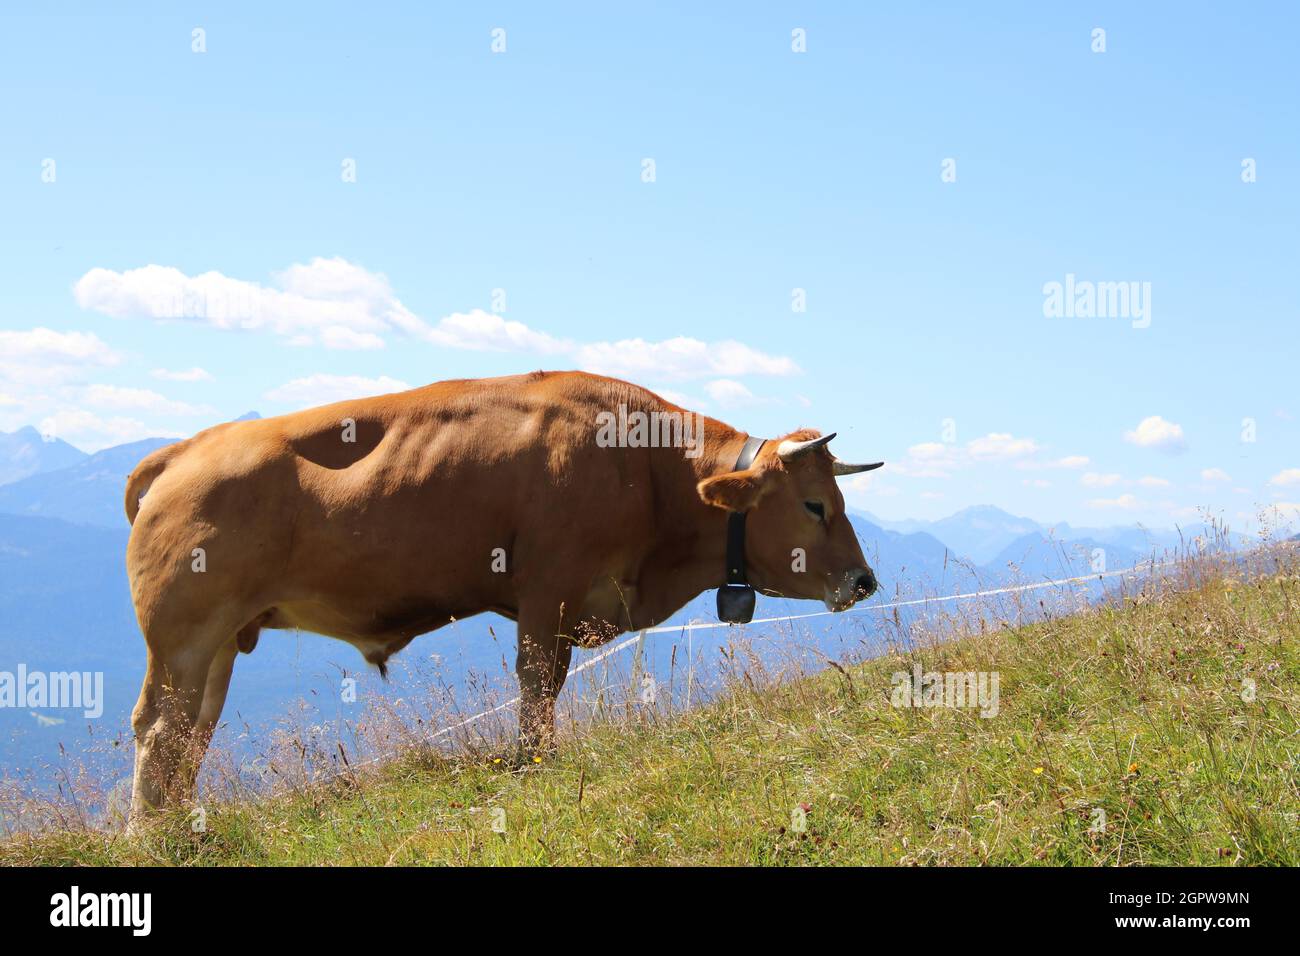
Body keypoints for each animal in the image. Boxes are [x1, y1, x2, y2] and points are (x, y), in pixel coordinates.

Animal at [122, 370, 881, 827]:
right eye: (814, 504)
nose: (863, 581)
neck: (646, 467)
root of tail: (187, 450)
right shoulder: (548, 592)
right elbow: (538, 682)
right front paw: (535, 764)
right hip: (185, 633)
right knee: (159, 732)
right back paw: (153, 833)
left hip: (220, 641)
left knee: (190, 732)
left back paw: (177, 821)